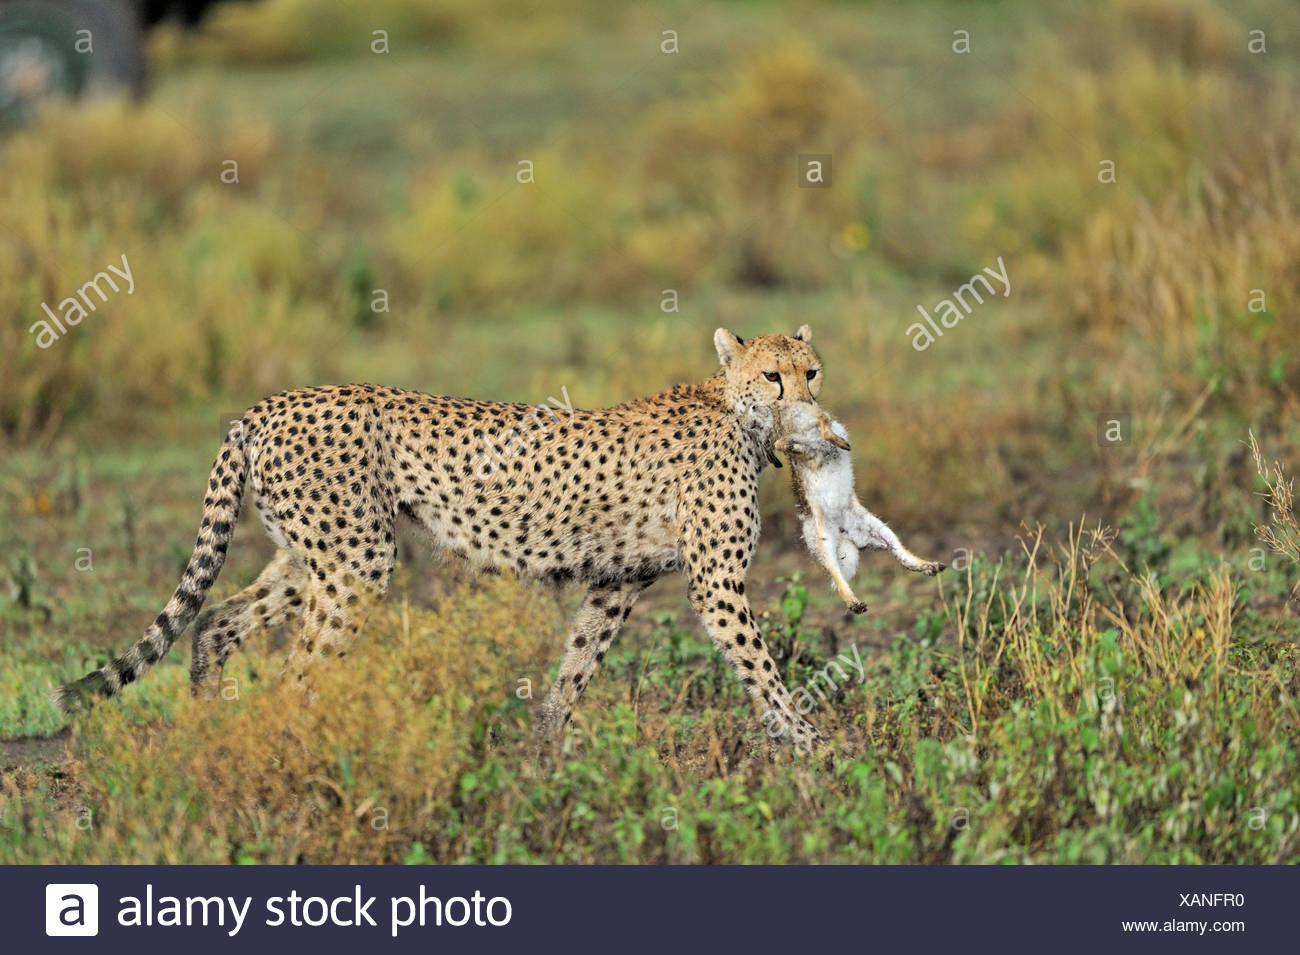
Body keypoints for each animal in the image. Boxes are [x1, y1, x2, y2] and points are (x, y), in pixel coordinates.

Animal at [55, 325, 837, 752]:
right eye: (773, 375)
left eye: (812, 371)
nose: (810, 408)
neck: (736, 412)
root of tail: (269, 404)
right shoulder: (717, 585)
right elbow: (763, 671)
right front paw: (815, 747)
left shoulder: (617, 583)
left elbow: (575, 668)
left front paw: (546, 752)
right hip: (358, 563)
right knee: (295, 675)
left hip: (315, 555)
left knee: (215, 620)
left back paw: (211, 726)